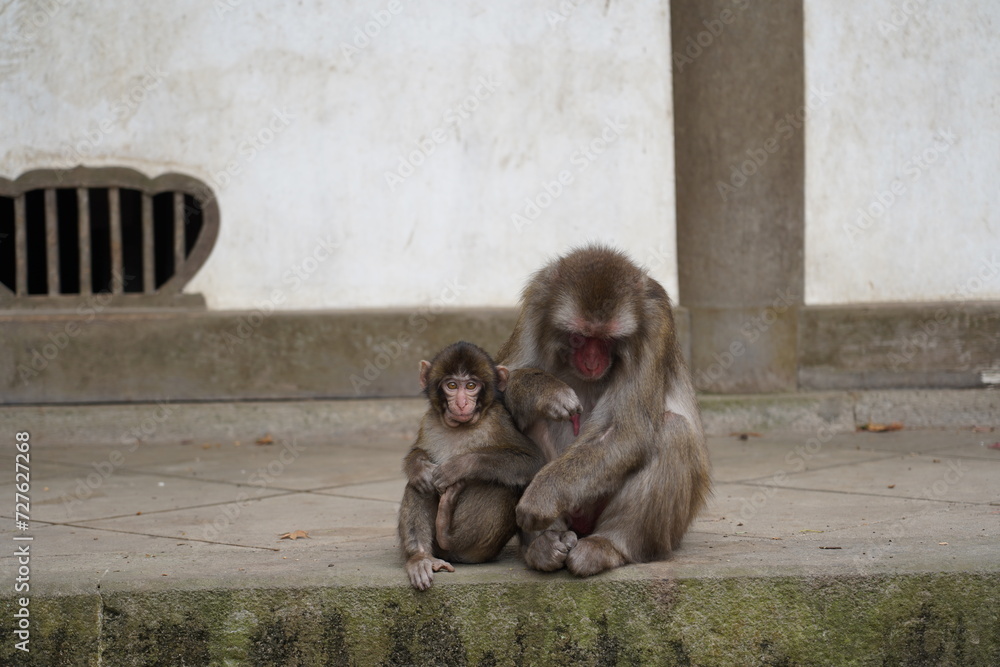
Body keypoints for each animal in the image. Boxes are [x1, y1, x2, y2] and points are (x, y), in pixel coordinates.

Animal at [398, 341, 545, 590]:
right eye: (452, 385)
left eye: (471, 386)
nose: (462, 402)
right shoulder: (428, 421)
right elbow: (419, 455)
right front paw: (419, 468)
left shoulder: (499, 419)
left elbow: (532, 461)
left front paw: (458, 467)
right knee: (418, 487)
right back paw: (421, 557)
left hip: (480, 550)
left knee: (501, 484)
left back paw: (447, 531)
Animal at [497, 244, 711, 577]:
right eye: (579, 337)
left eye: (607, 340)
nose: (592, 362)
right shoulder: (537, 304)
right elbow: (499, 379)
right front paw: (546, 391)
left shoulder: (654, 323)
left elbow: (626, 431)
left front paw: (543, 496)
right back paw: (543, 545)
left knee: (673, 430)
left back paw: (608, 545)